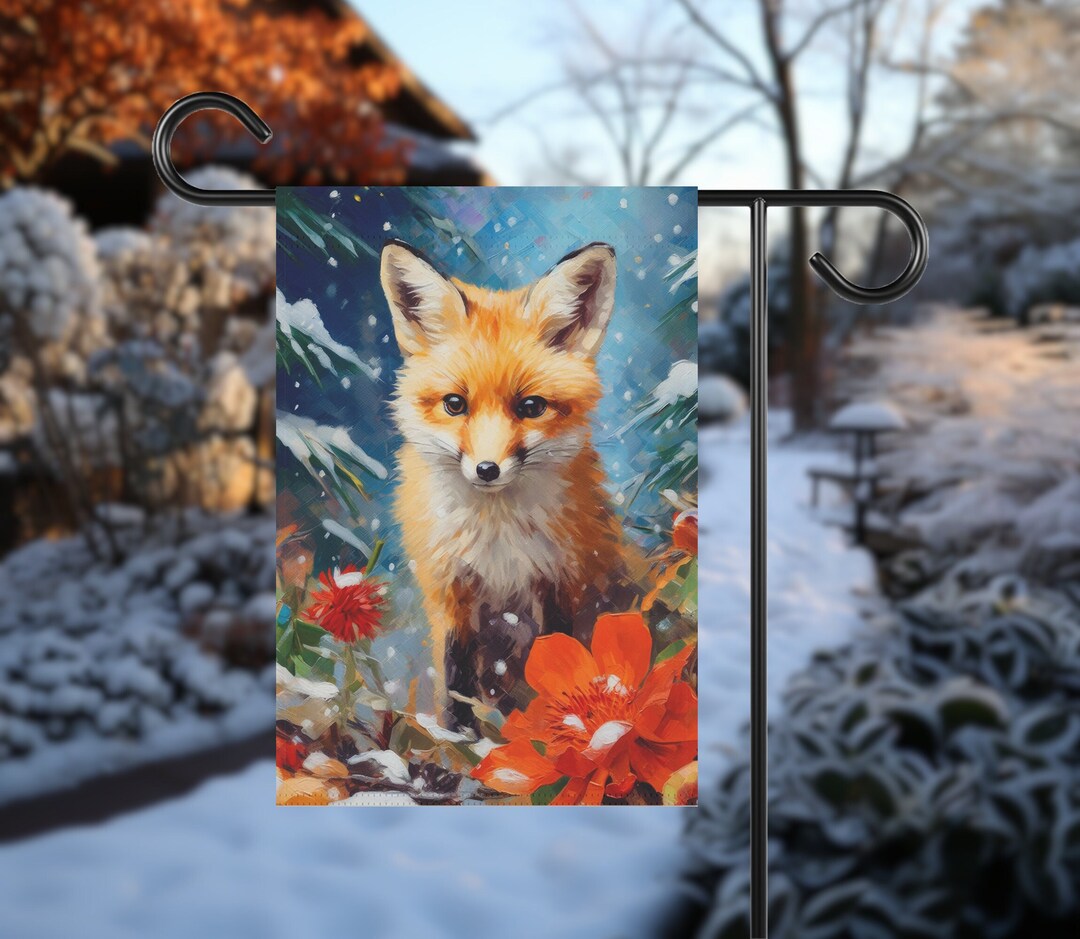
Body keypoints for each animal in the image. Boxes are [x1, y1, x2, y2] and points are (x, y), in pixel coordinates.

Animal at [380, 239, 639, 728]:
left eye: (531, 407)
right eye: (455, 404)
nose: (487, 469)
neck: (496, 539)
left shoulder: (561, 580)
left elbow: (559, 657)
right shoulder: (450, 590)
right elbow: (455, 679)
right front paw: (458, 739)